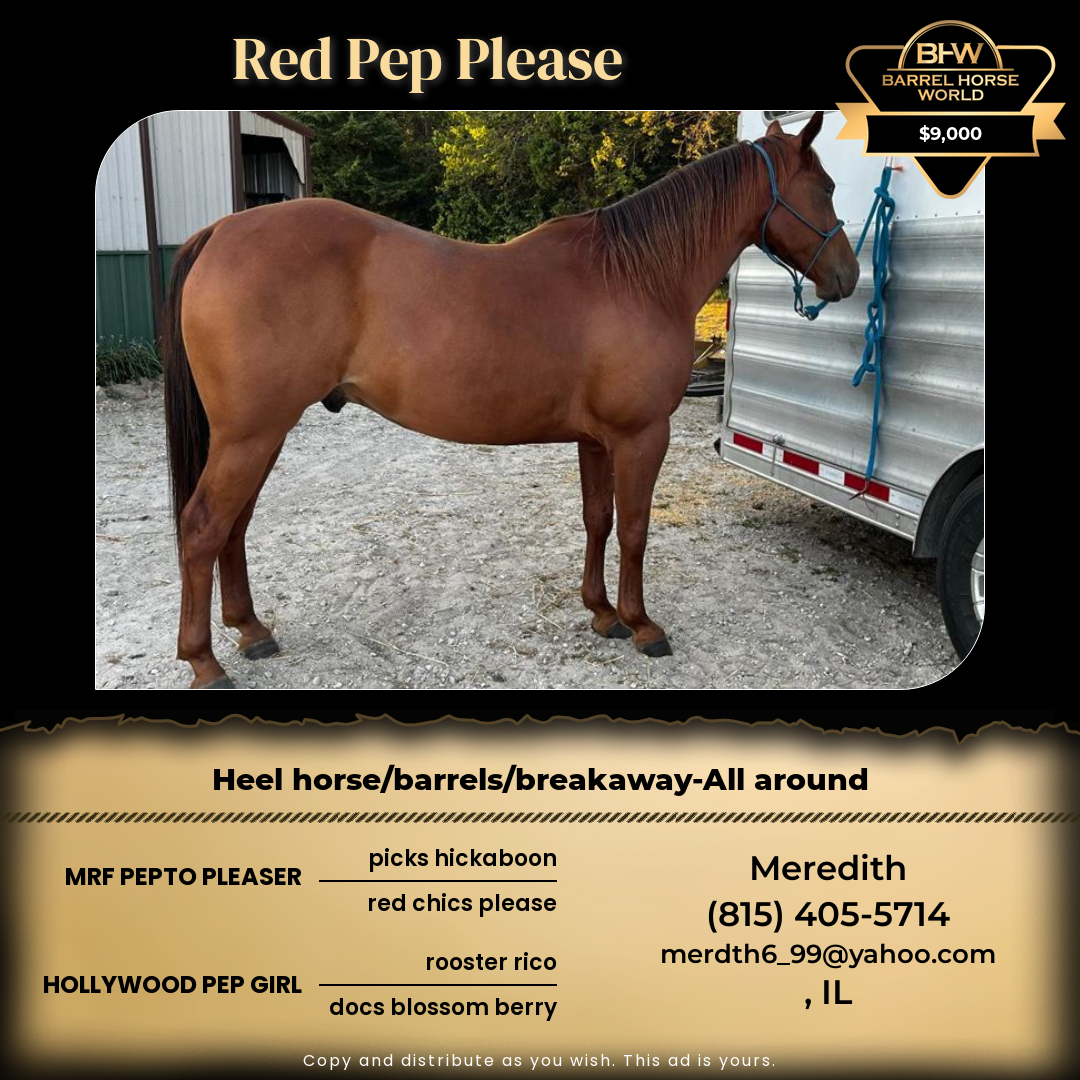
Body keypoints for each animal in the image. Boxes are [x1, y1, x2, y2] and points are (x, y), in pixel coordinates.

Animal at [163, 111, 858, 688]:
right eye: (824, 189)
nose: (848, 277)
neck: (635, 276)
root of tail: (221, 230)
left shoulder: (596, 440)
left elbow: (598, 520)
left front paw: (602, 614)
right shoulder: (641, 436)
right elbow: (635, 529)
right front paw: (642, 625)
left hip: (261, 435)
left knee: (234, 526)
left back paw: (252, 631)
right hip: (250, 435)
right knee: (202, 528)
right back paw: (205, 661)